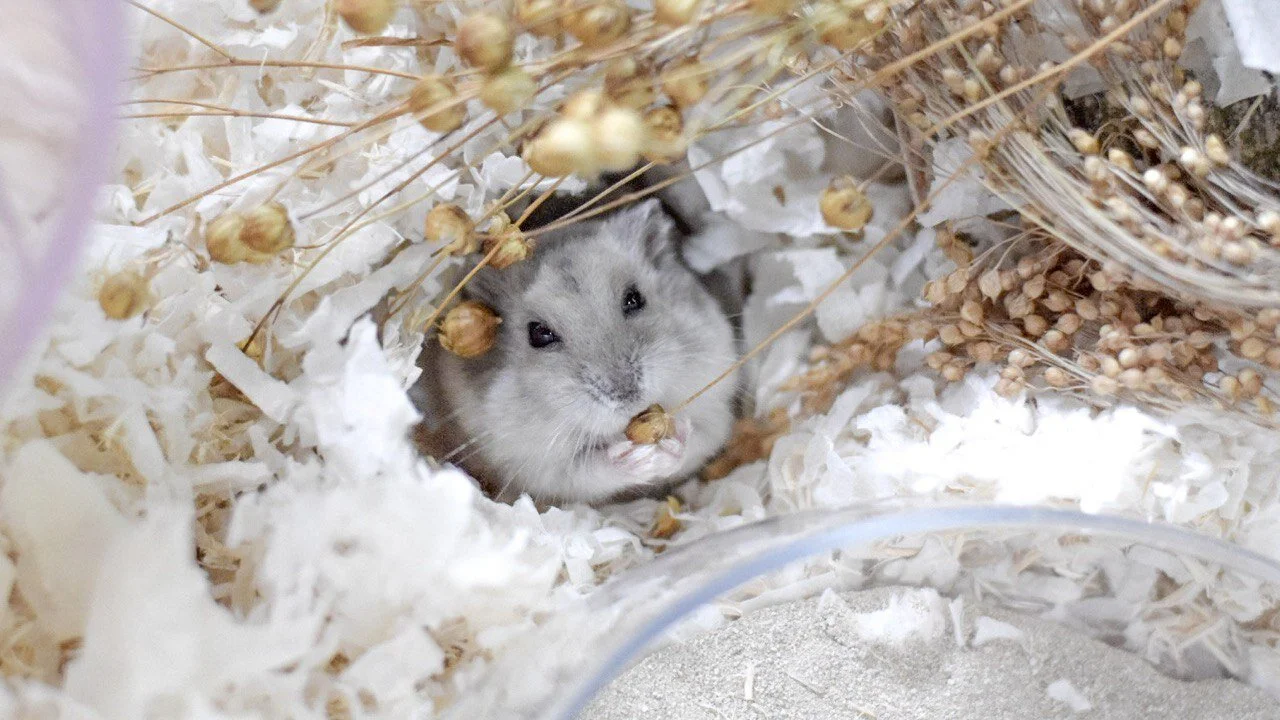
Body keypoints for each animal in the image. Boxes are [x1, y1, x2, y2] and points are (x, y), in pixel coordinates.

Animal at [419, 199, 739, 505]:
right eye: (539, 334)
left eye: (634, 299)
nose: (627, 396)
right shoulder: (533, 464)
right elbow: (585, 472)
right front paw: (636, 457)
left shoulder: (716, 406)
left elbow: (700, 438)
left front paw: (672, 444)